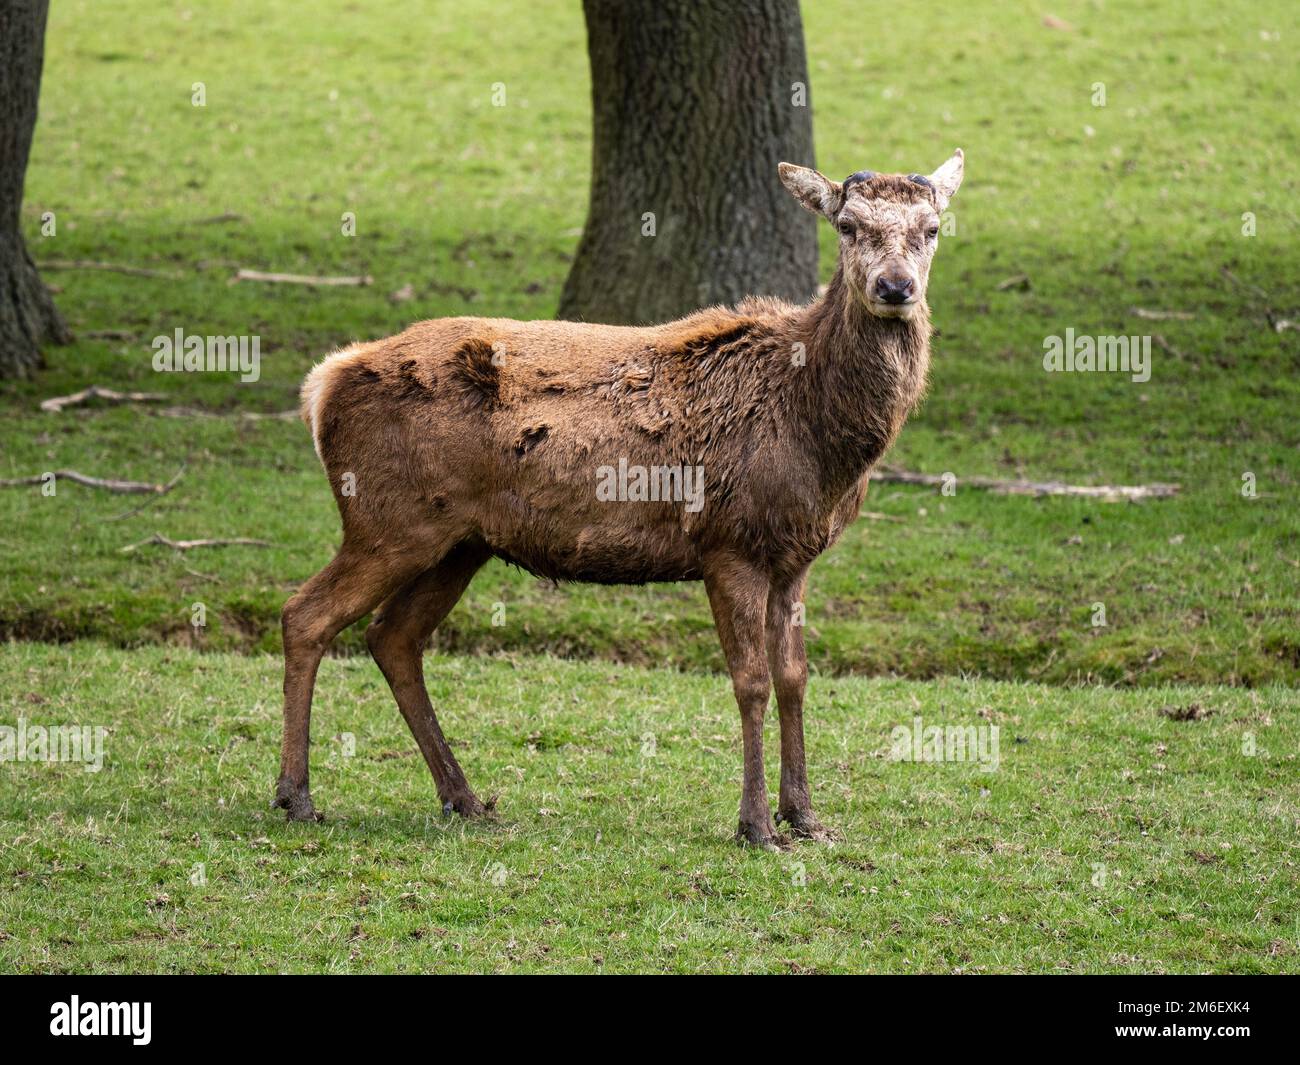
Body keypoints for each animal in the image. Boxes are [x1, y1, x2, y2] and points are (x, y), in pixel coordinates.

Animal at [276, 150, 964, 849]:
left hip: (460, 541)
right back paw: (296, 796)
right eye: (848, 225)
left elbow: (795, 678)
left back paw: (464, 798)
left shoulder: (795, 556)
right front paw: (756, 824)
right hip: (387, 521)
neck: (820, 442)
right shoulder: (729, 543)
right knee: (306, 614)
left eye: (933, 227)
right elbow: (751, 682)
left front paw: (806, 817)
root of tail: (321, 385)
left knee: (393, 637)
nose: (895, 287)